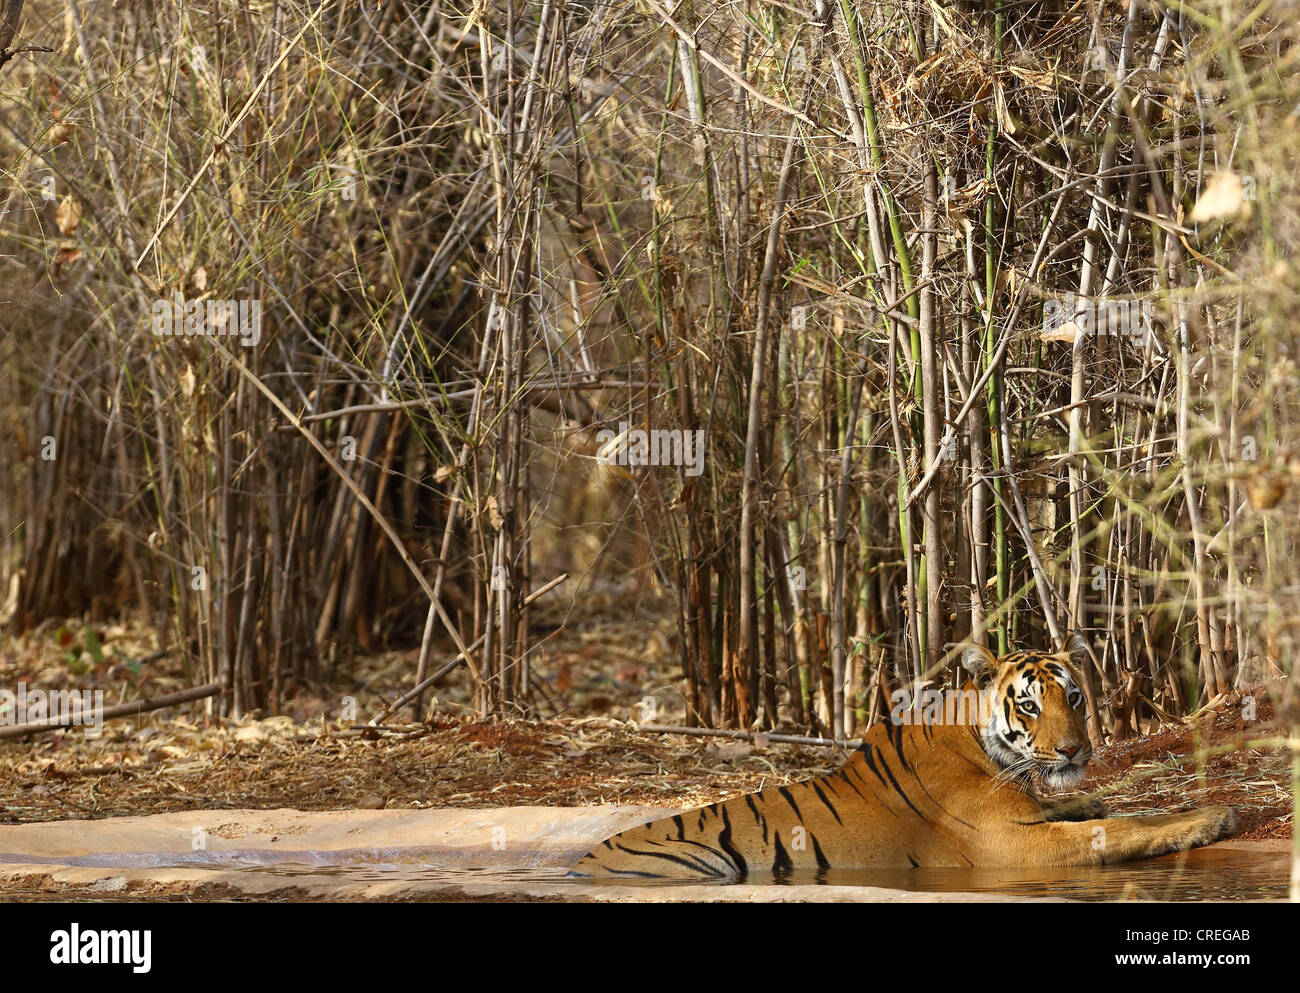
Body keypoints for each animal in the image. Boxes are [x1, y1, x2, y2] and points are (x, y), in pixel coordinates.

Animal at [568, 635, 1236, 879]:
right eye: (1028, 706)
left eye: (1073, 697)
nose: (1075, 749)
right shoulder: (1012, 844)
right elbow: (1124, 828)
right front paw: (1211, 817)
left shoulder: (1026, 815)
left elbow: (1083, 809)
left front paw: (1090, 796)